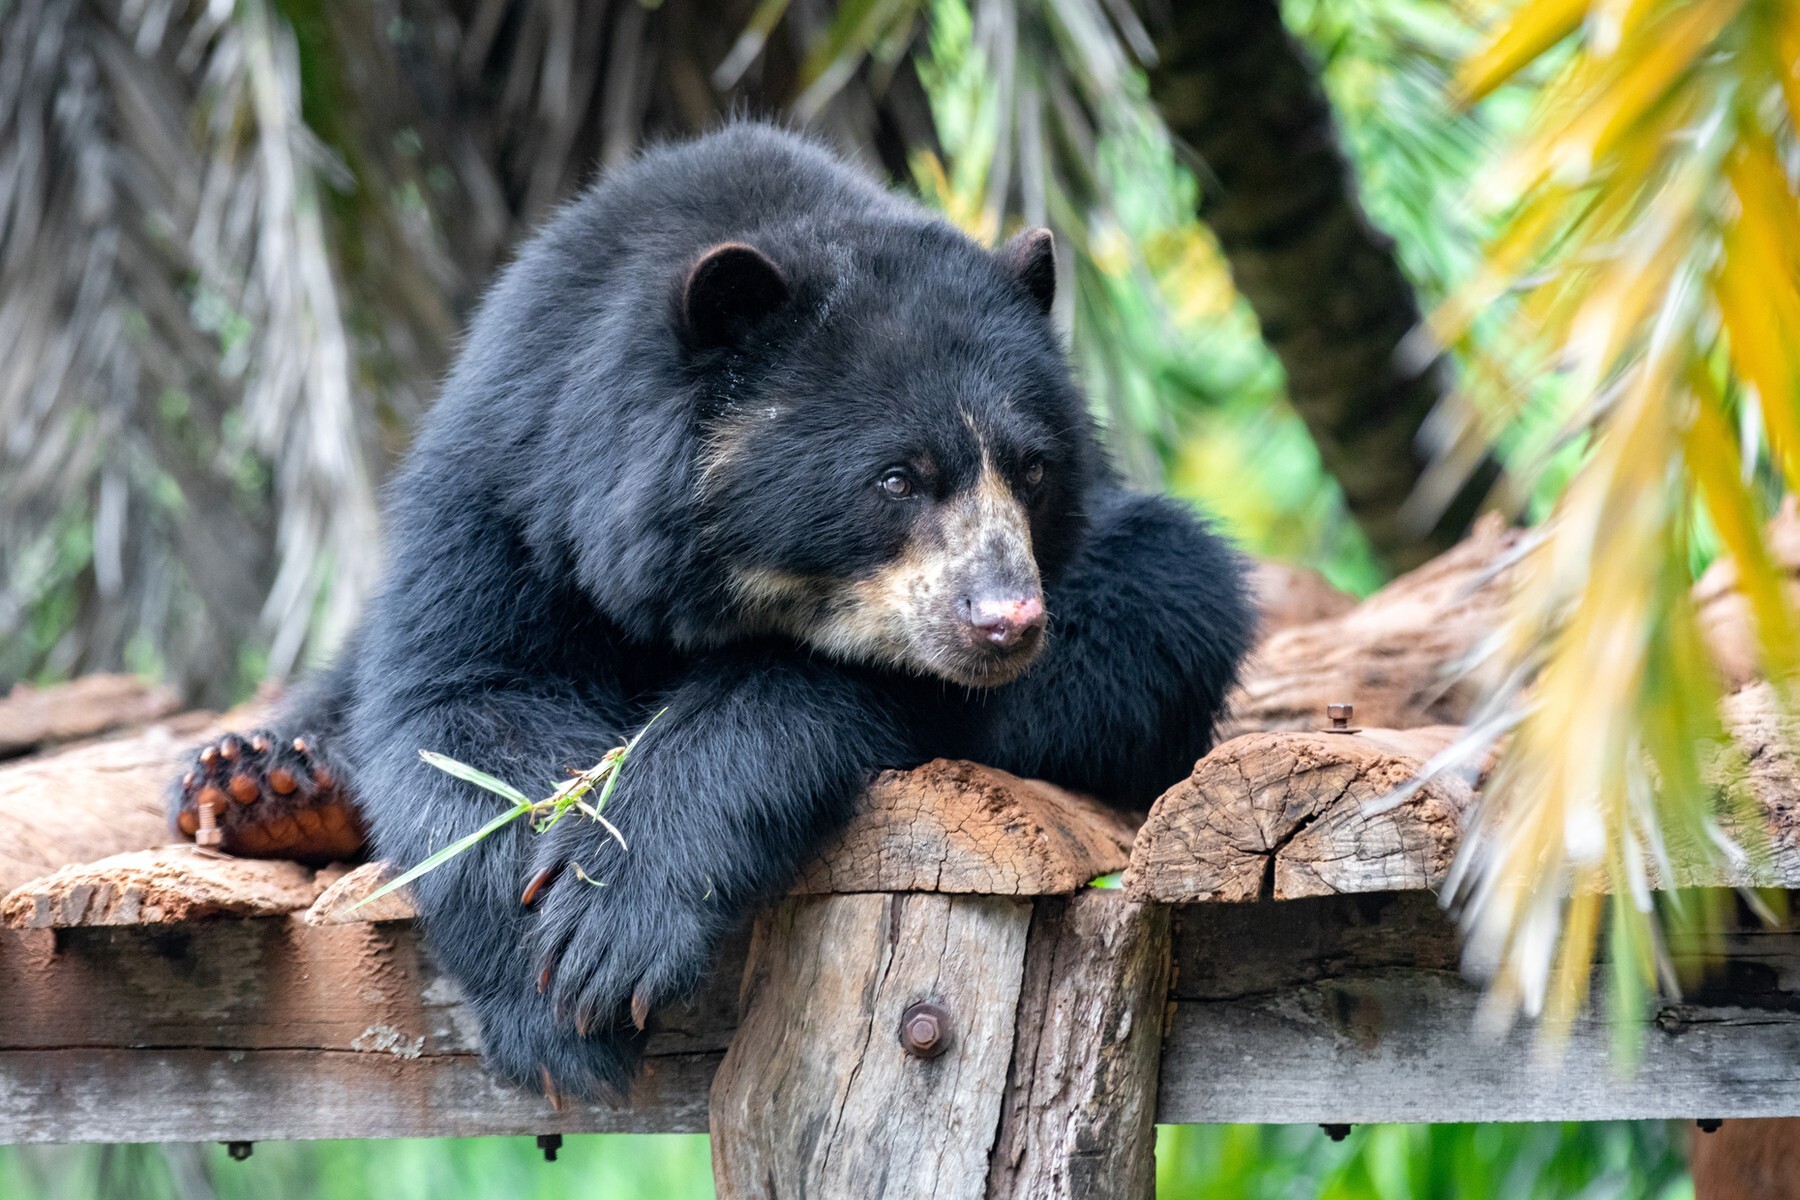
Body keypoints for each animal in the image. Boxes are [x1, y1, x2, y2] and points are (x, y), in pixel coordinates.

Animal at [171, 122, 1254, 1099]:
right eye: (896, 479)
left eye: (1031, 470)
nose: (1004, 624)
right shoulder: (509, 491)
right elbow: (463, 700)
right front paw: (551, 1002)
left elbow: (1146, 611)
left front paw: (608, 931)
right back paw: (267, 783)